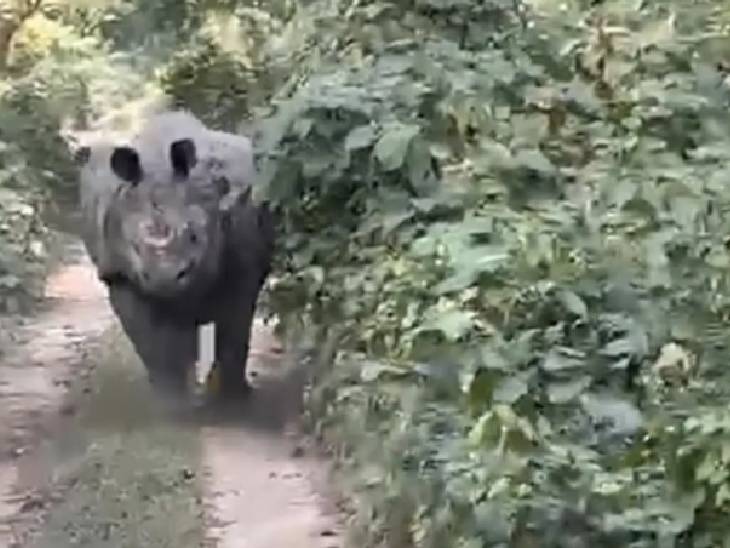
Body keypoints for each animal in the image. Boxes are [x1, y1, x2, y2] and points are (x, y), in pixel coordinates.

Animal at [77, 111, 275, 399]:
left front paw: (232, 399)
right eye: (133, 245)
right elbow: (152, 346)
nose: (165, 278)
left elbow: (235, 331)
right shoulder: (118, 274)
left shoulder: (243, 265)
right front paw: (172, 402)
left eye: (194, 236)